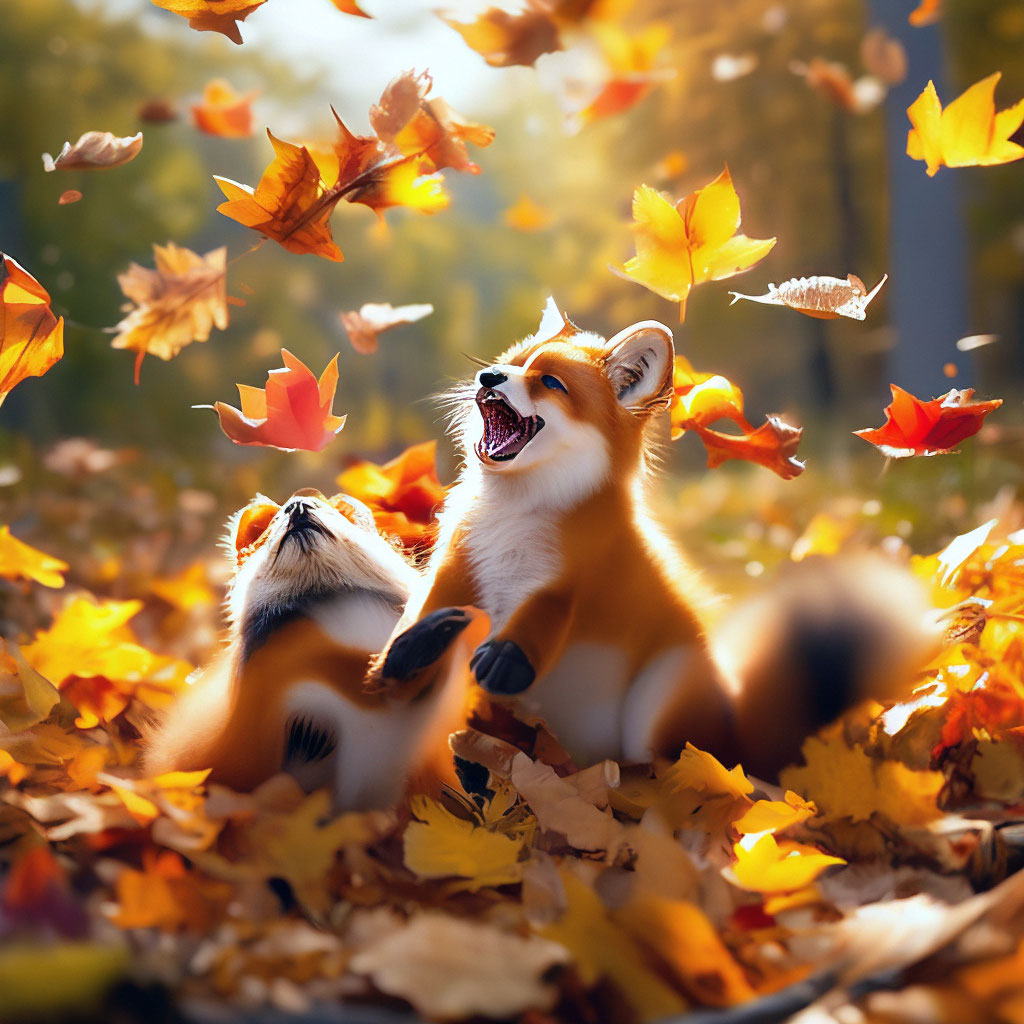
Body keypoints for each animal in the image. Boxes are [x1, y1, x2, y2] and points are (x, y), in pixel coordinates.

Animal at [373, 299, 940, 779]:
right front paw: (406, 651)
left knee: (675, 771)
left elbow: (543, 617)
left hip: (655, 708)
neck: (513, 516)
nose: (488, 376)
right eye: (507, 363)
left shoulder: (574, 577)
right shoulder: (456, 566)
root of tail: (734, 730)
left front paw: (508, 656)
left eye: (549, 382)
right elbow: (422, 611)